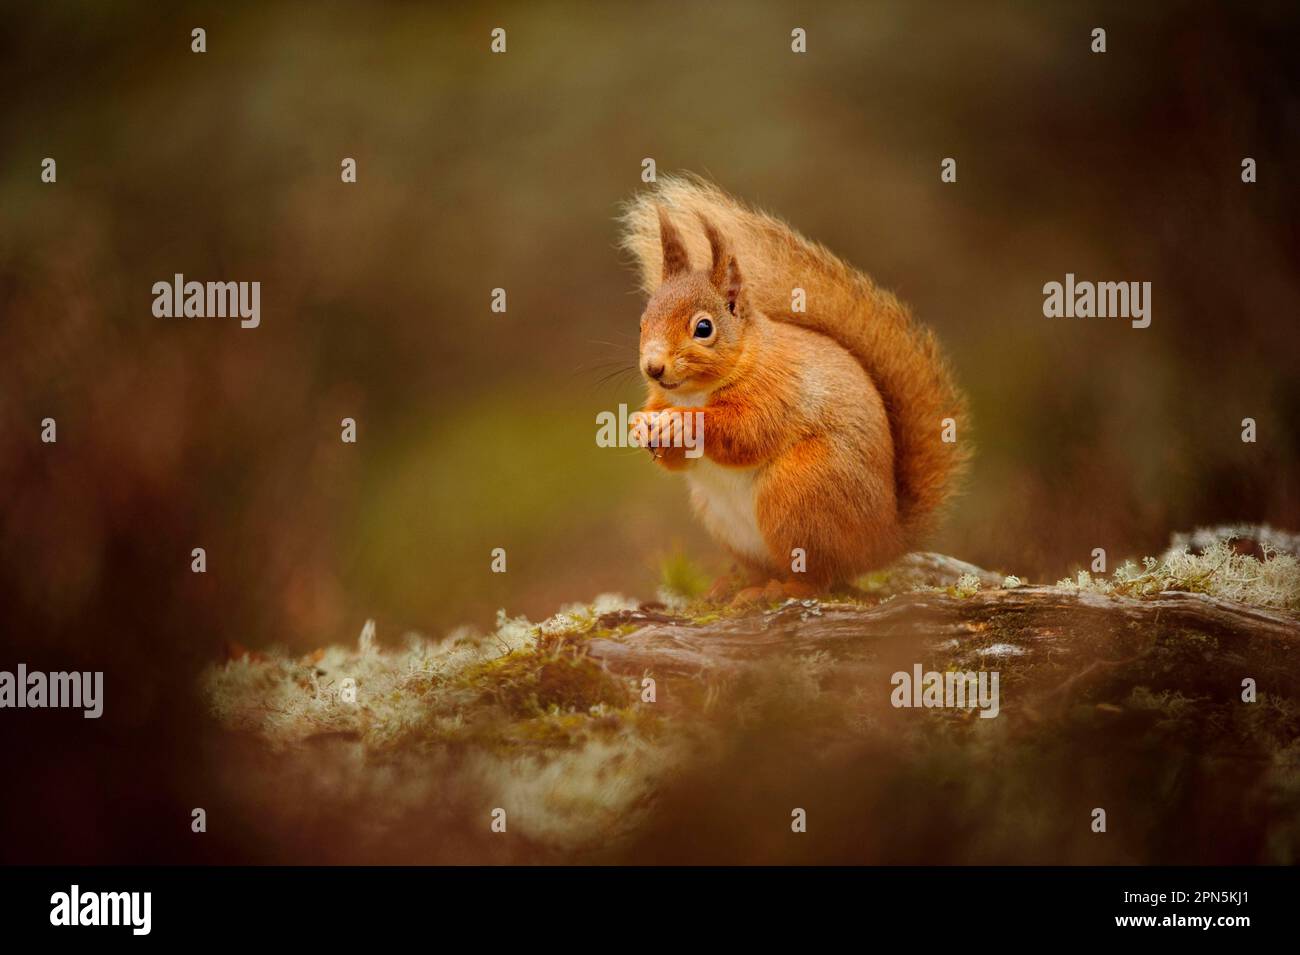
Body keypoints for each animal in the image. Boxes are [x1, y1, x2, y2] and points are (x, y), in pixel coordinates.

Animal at [619, 176, 969, 602]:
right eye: (642, 323)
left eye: (704, 327)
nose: (653, 368)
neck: (693, 393)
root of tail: (884, 540)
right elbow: (677, 459)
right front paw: (641, 425)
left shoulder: (777, 390)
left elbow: (745, 432)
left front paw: (682, 423)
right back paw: (733, 584)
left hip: (799, 494)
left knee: (821, 577)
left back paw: (779, 589)